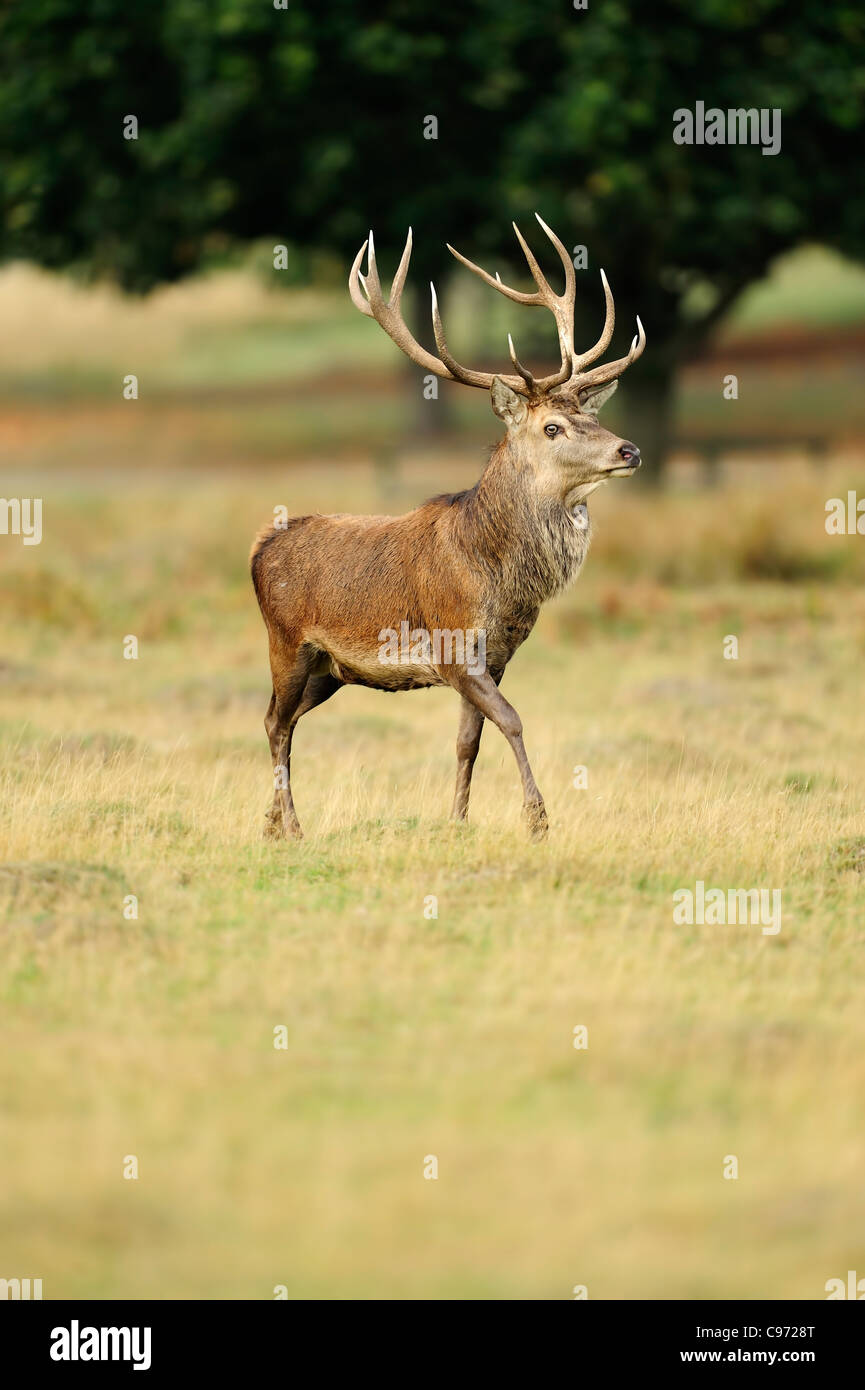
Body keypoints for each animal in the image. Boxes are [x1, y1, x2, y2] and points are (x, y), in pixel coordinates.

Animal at [250, 215, 645, 840]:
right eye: (553, 427)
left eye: (593, 416)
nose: (629, 449)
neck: (498, 576)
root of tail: (259, 547)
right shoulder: (453, 645)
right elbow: (513, 721)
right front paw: (537, 818)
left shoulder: (498, 656)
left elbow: (468, 741)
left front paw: (458, 822)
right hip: (287, 642)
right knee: (276, 724)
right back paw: (292, 826)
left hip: (330, 669)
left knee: (276, 720)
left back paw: (270, 823)